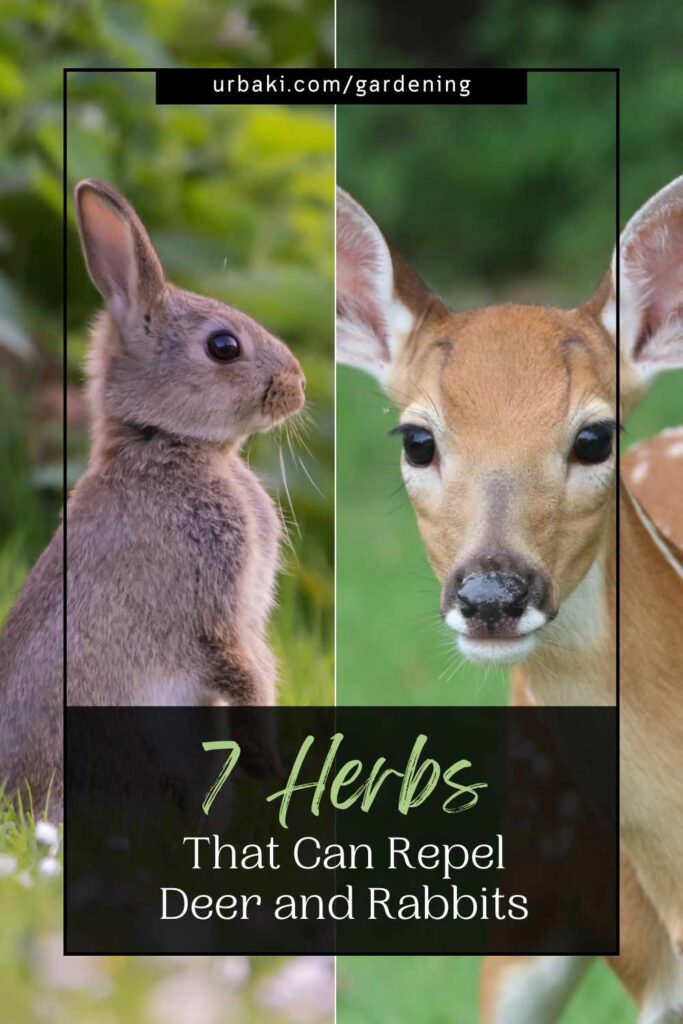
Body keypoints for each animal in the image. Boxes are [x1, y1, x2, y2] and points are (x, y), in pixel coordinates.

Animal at [0, 179, 306, 817]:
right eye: (223, 346)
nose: (298, 385)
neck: (164, 445)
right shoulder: (215, 613)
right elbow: (247, 674)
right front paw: (270, 769)